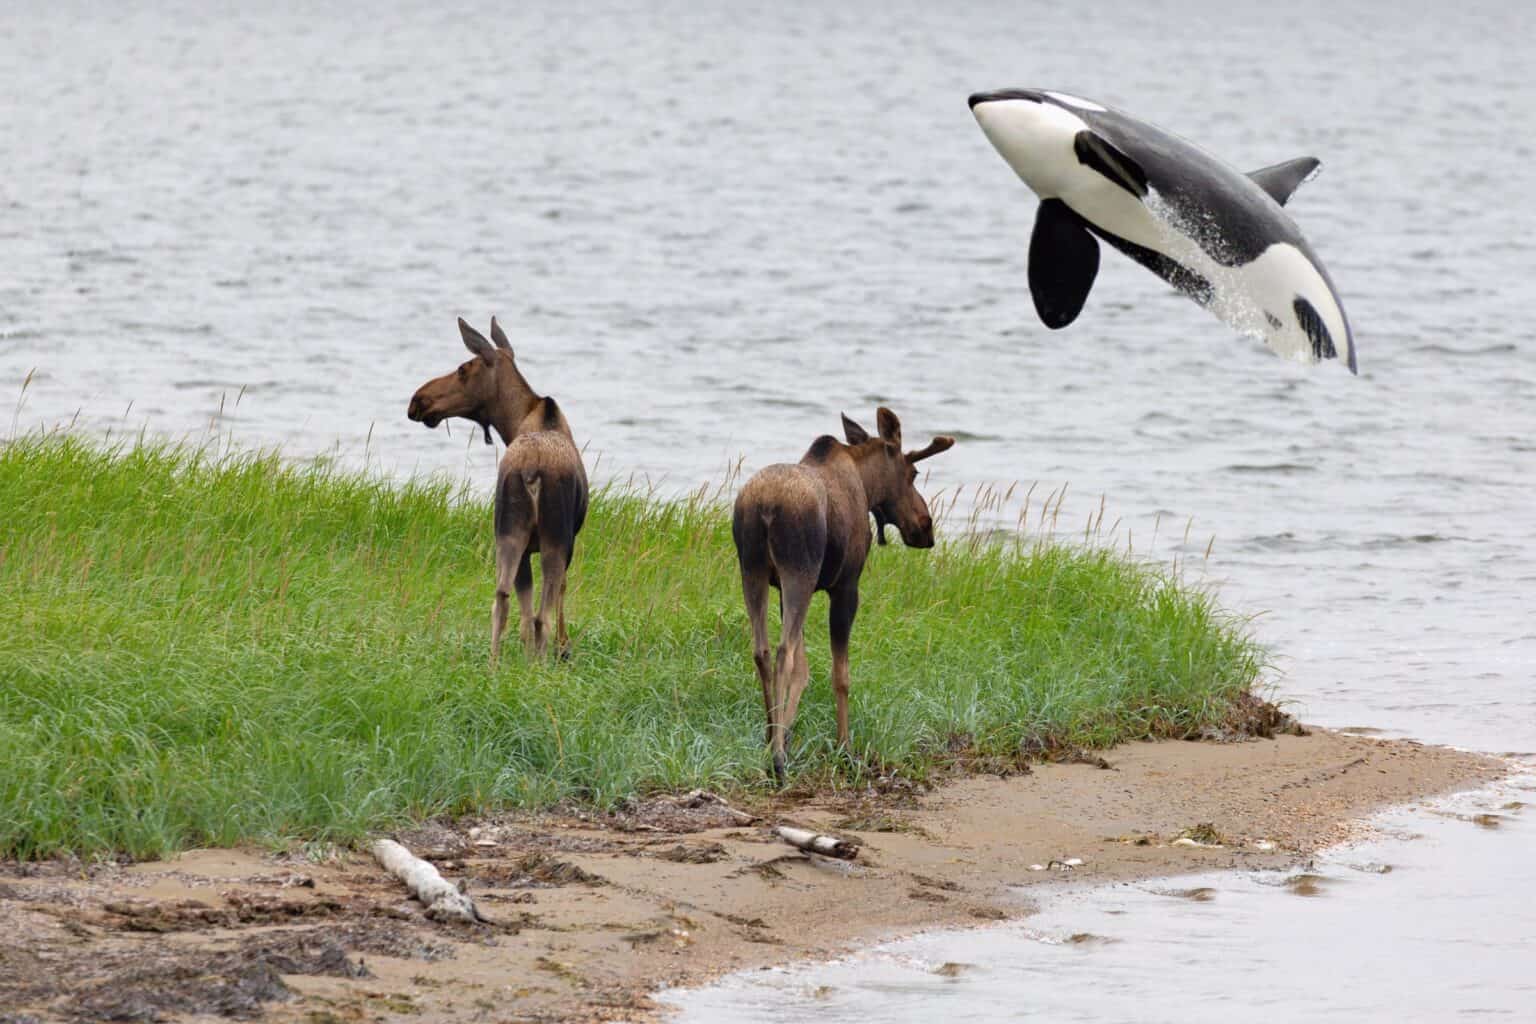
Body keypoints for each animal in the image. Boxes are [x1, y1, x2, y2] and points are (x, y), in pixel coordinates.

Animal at [407, 317, 588, 663]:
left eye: (463, 368)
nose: (417, 401)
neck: (514, 423)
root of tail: (532, 471)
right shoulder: (570, 540)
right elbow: (560, 595)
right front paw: (564, 649)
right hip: (553, 538)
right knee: (541, 614)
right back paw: (538, 664)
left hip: (506, 531)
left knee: (502, 598)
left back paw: (495, 663)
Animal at [732, 407, 954, 781]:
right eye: (913, 473)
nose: (926, 528)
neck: (866, 484)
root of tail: (765, 508)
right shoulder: (846, 587)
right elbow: (840, 675)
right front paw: (844, 747)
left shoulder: (784, 590)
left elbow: (805, 670)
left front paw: (785, 732)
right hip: (799, 571)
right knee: (782, 652)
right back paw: (777, 759)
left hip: (753, 570)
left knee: (761, 650)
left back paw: (769, 738)